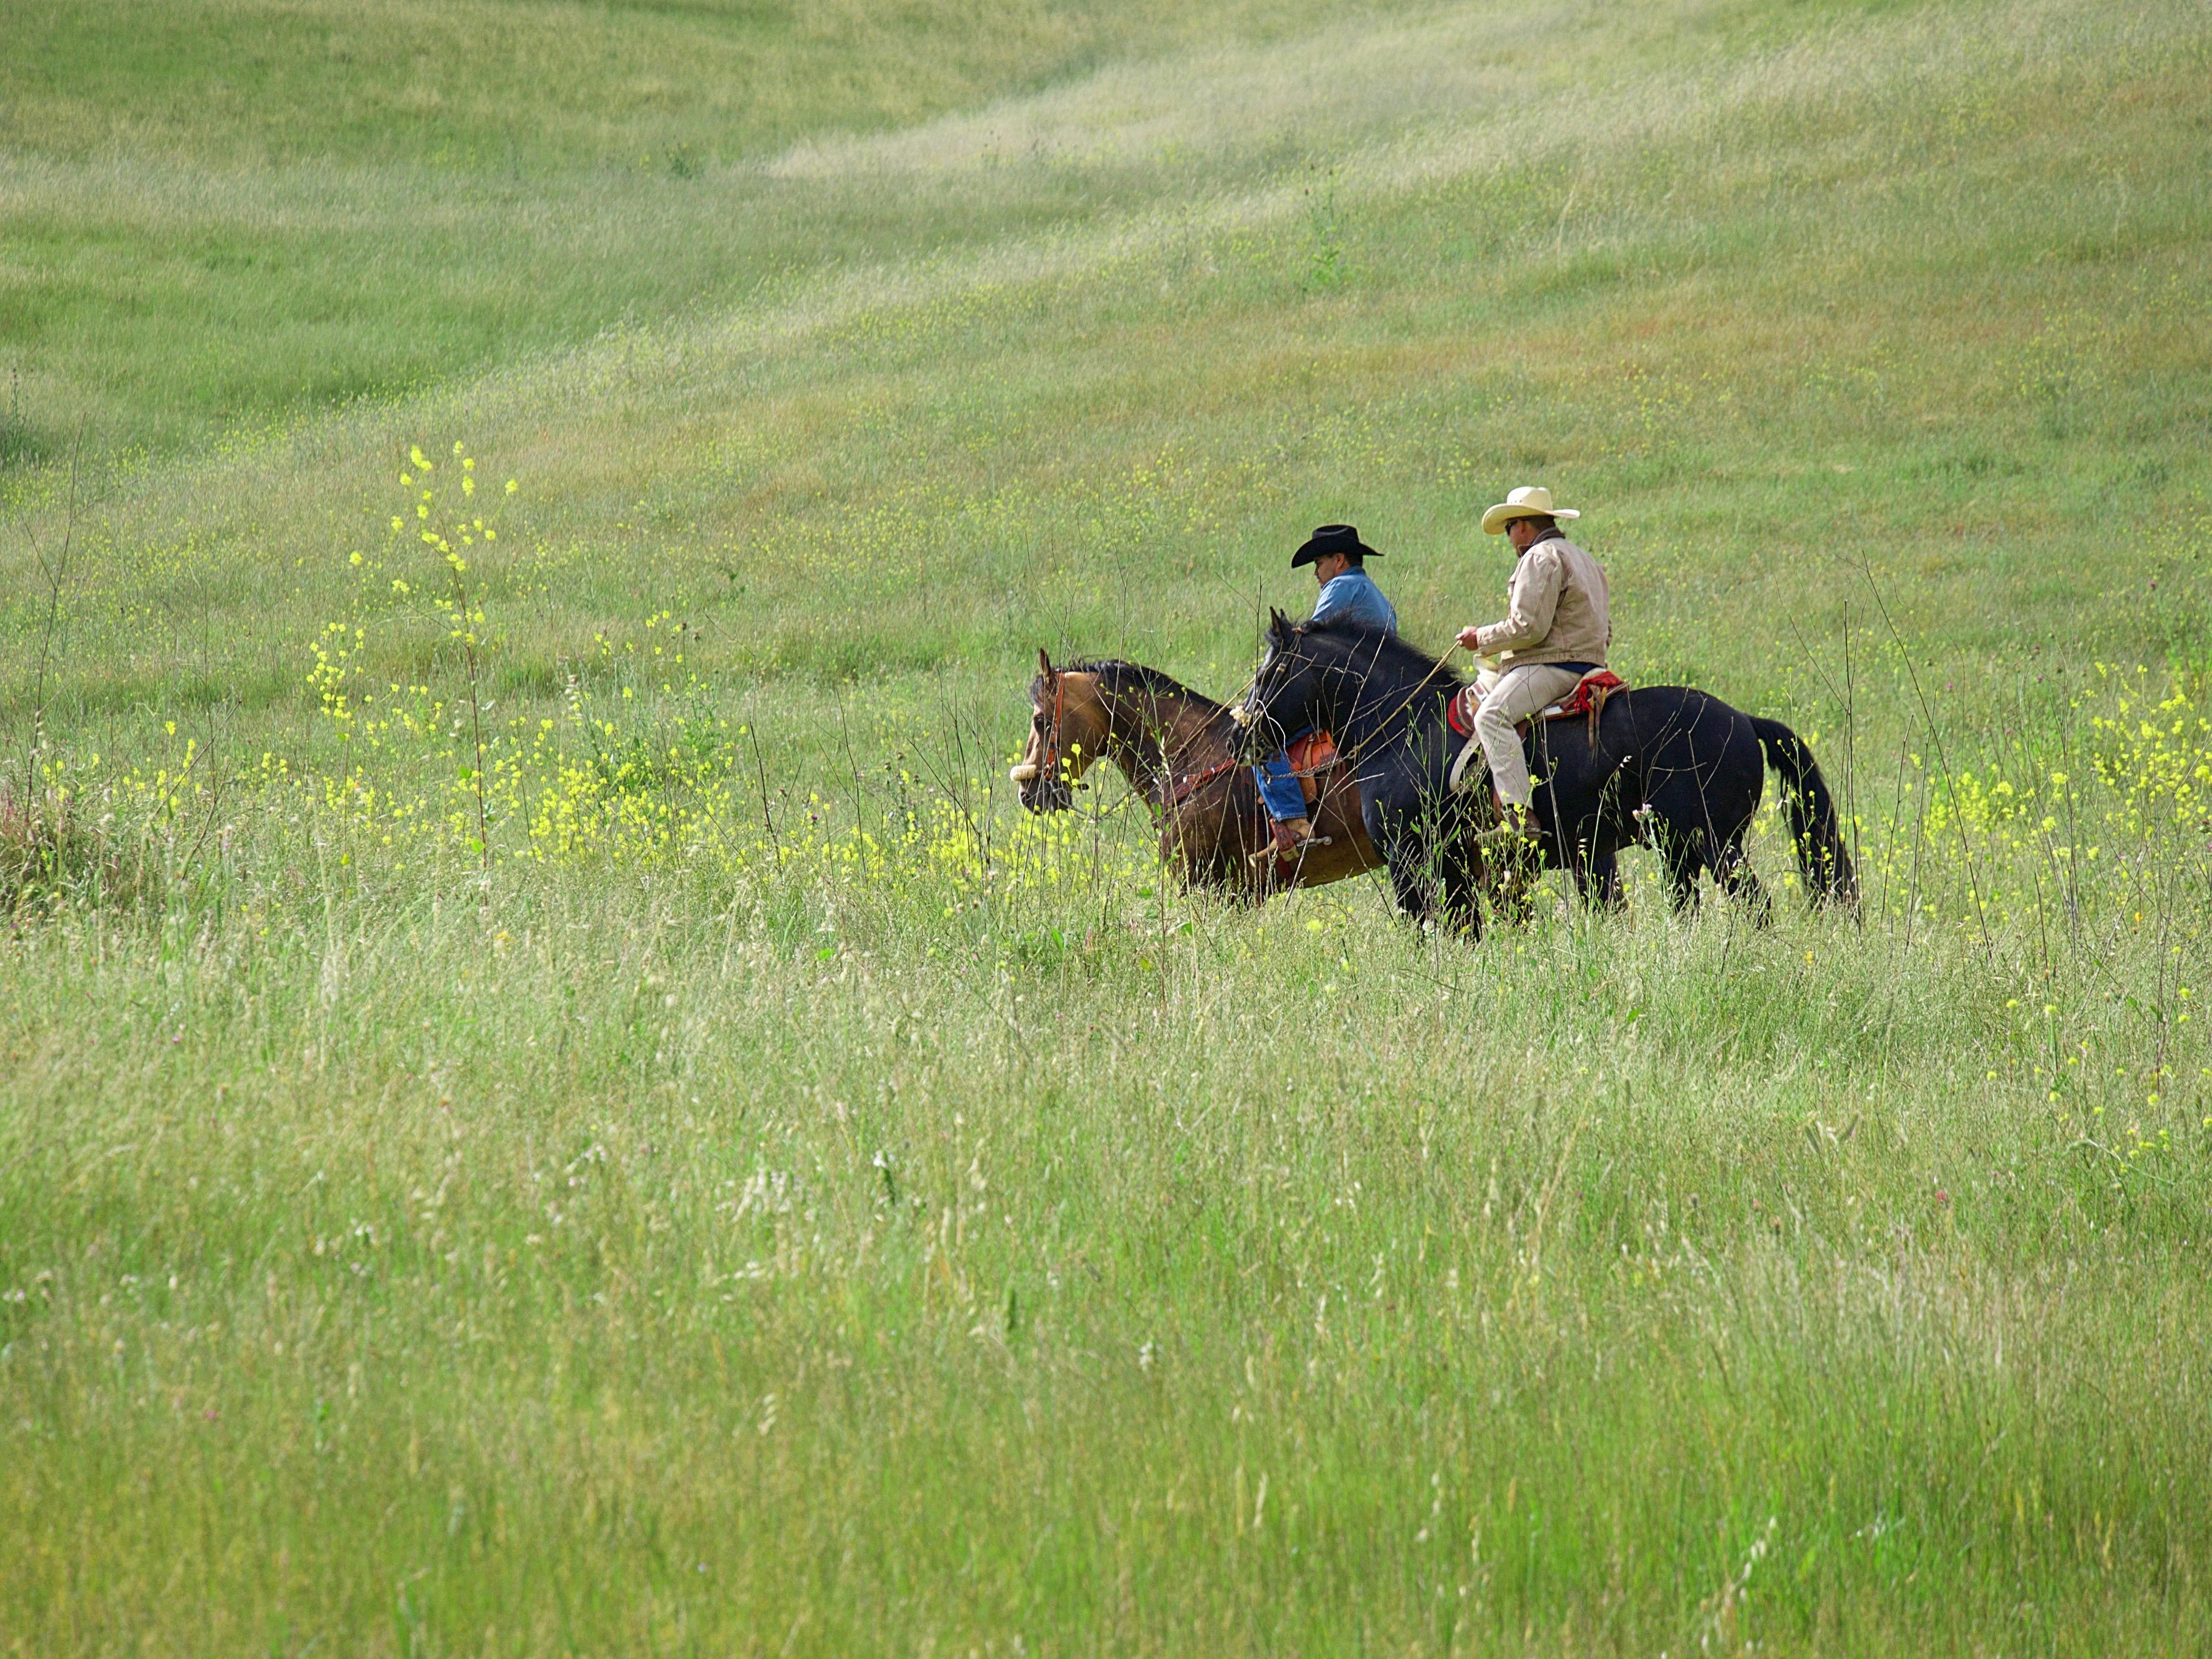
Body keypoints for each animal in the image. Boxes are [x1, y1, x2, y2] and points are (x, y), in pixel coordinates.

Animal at [1231, 613, 1858, 925]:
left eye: (1271, 670)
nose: (1243, 732)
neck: (1404, 728)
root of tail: (1743, 720)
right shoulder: (1458, 862)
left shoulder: (1413, 858)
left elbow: (1427, 927)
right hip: (1678, 851)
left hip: (1711, 842)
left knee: (1755, 906)